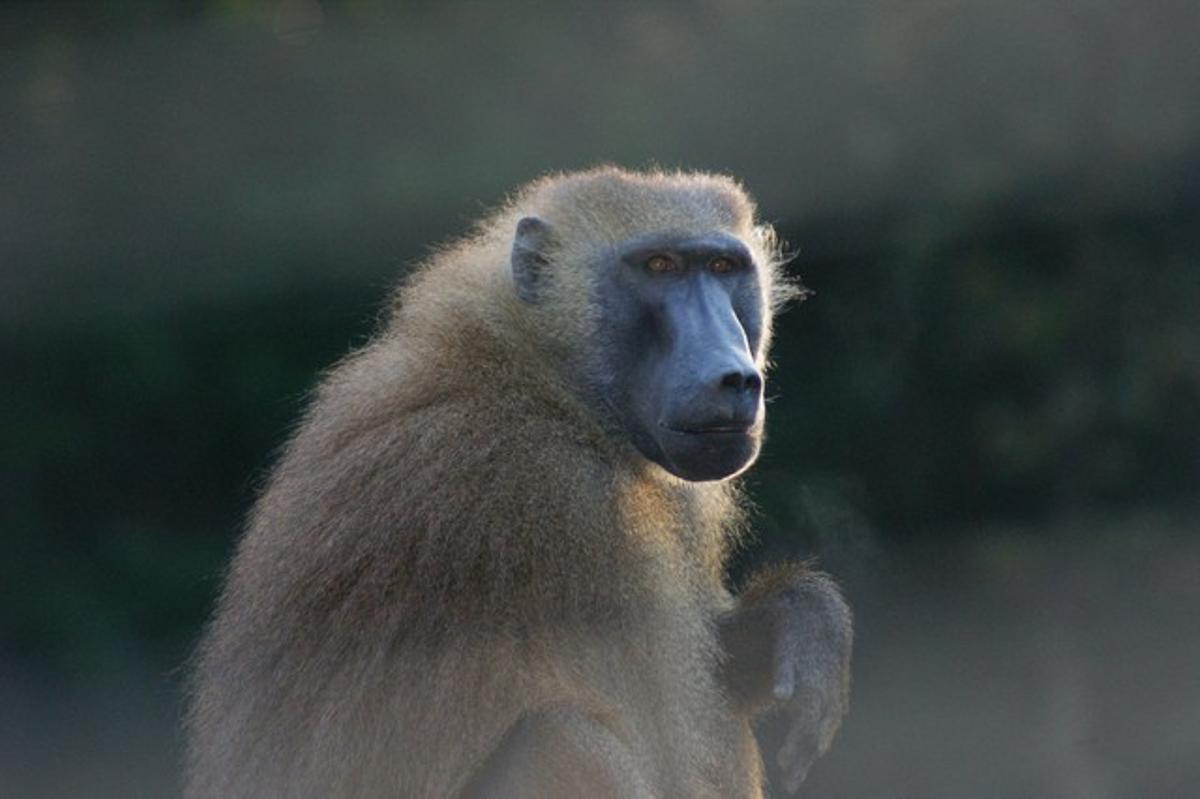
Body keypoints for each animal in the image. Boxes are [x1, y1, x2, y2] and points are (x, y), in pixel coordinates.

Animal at [184, 167, 852, 798]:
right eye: (659, 266)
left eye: (722, 267)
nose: (734, 378)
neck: (541, 378)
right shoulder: (564, 496)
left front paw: (798, 621)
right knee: (564, 737)